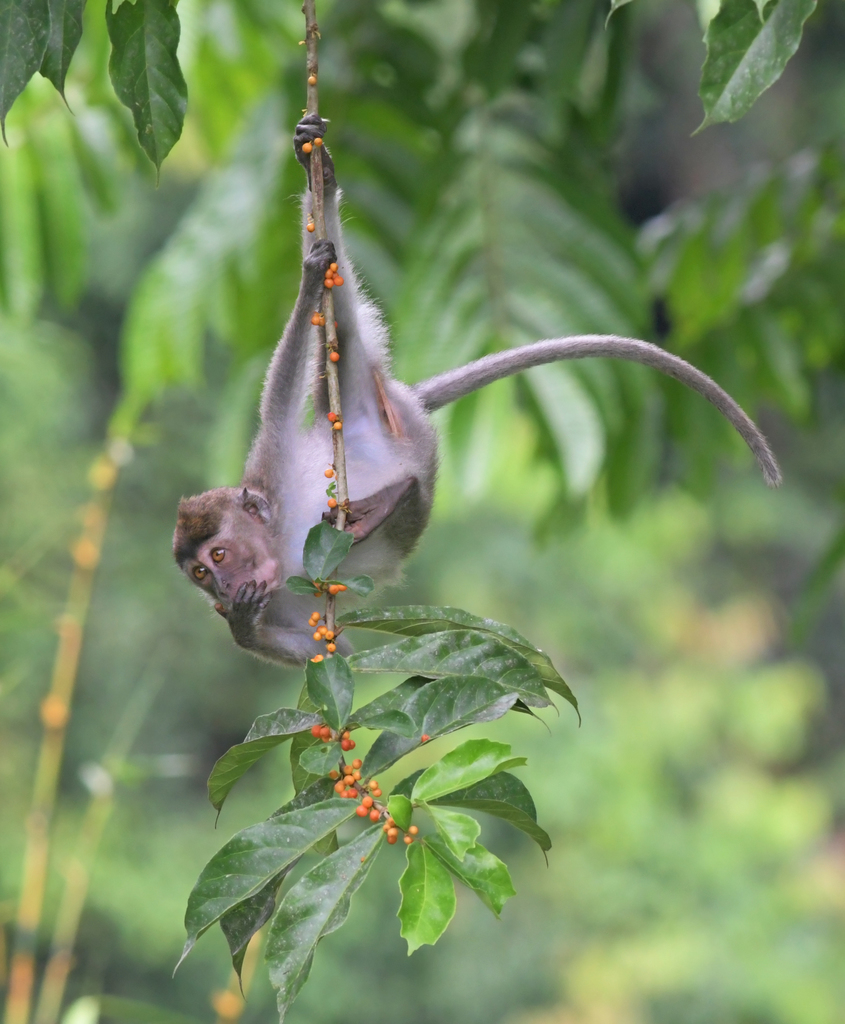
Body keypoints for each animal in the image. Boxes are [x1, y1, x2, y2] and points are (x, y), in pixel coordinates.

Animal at [173, 113, 781, 666]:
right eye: (200, 573)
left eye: (219, 555)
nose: (222, 592)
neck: (280, 540)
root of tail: (407, 403)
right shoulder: (282, 598)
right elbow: (336, 653)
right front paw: (243, 627)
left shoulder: (270, 462)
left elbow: (280, 392)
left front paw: (305, 281)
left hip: (375, 406)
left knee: (341, 333)